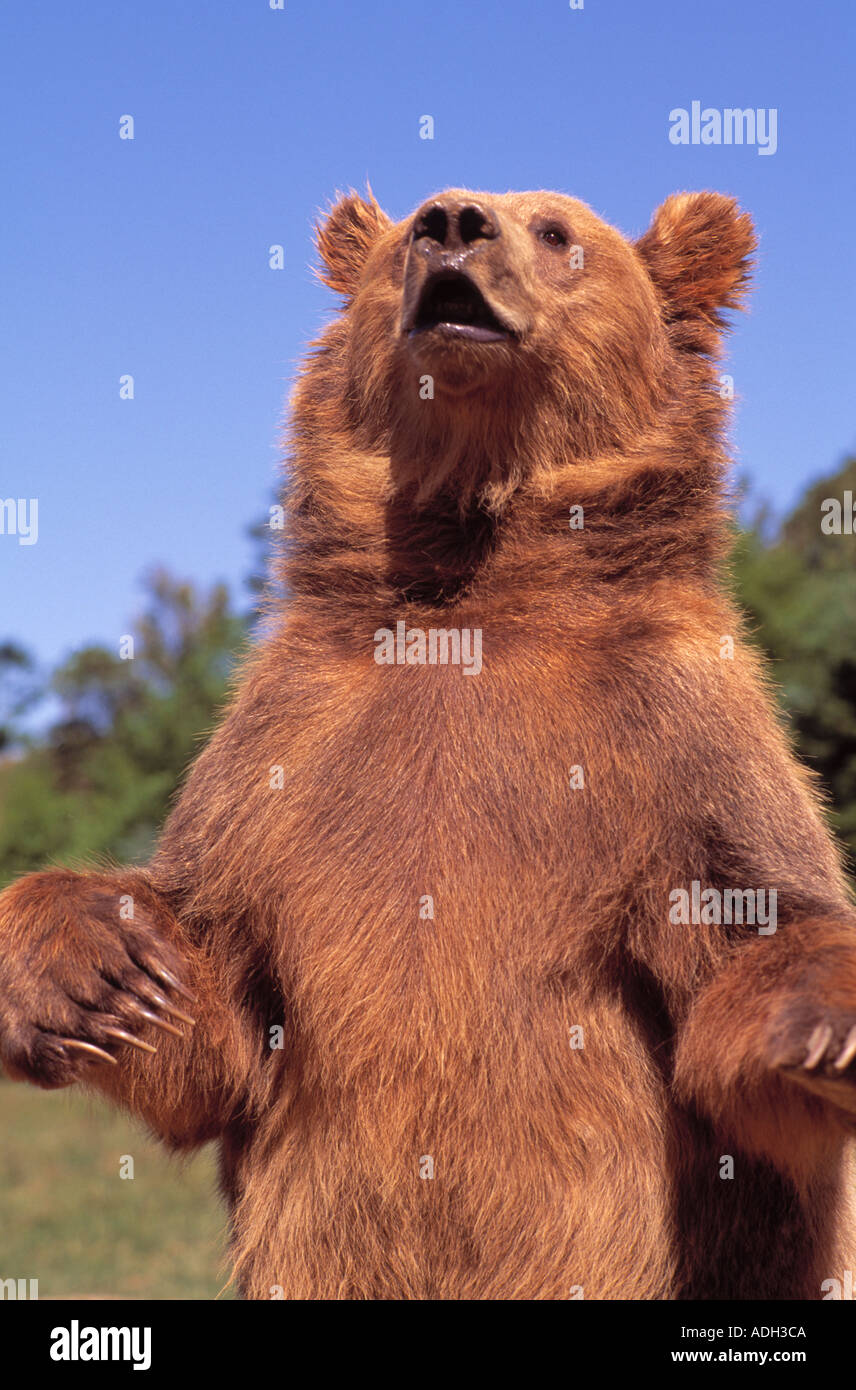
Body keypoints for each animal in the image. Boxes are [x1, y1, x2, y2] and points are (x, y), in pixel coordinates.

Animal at [1, 186, 855, 1301]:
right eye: (411, 224)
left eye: (558, 231)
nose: (454, 221)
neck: (470, 592)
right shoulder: (286, 743)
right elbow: (215, 1010)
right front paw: (99, 970)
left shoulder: (678, 743)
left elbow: (744, 953)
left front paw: (829, 1018)